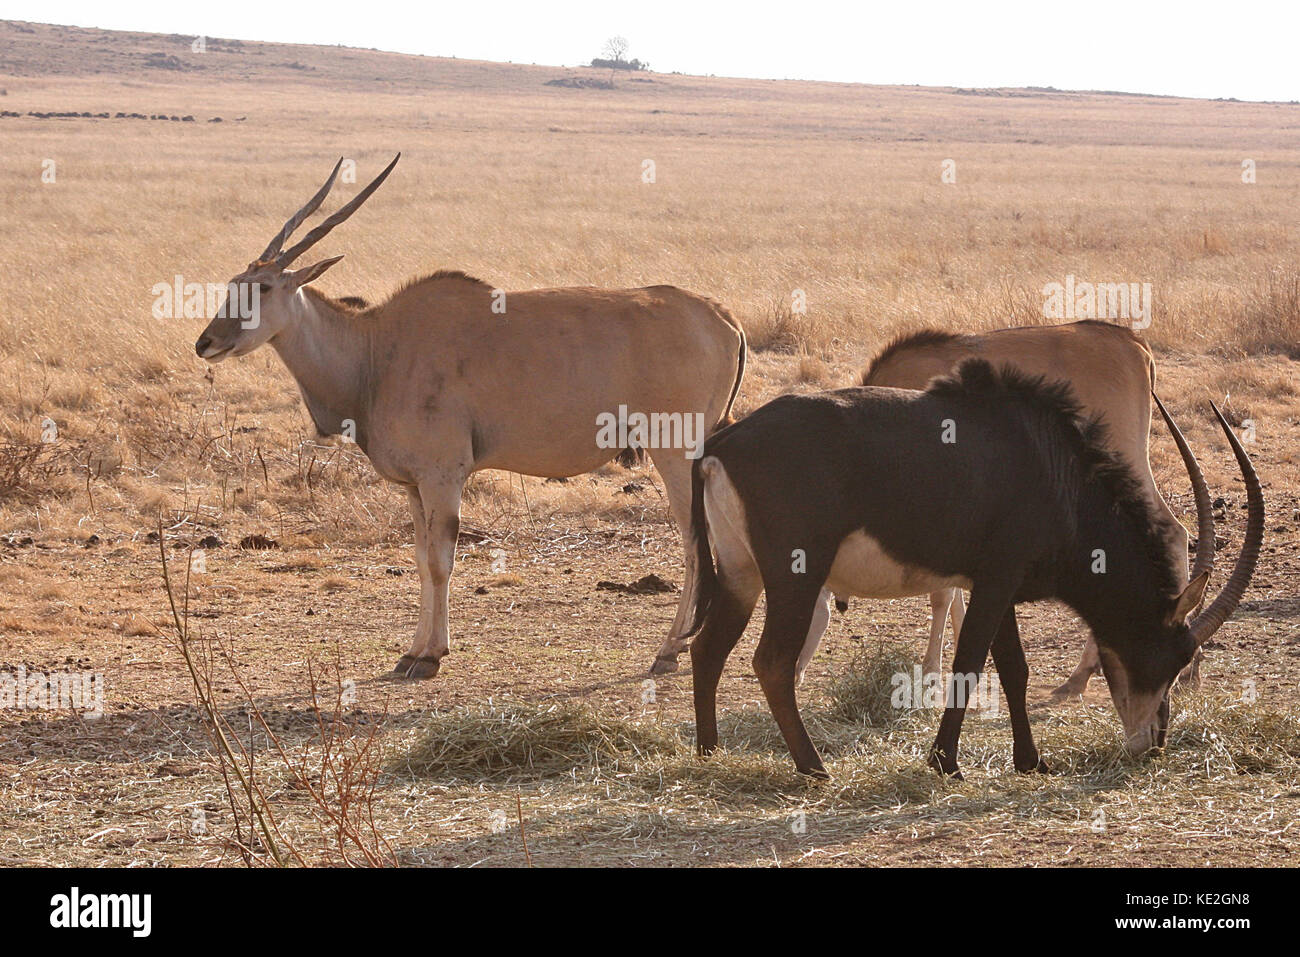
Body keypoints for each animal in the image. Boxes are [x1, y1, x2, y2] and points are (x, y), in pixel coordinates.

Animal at [195, 156, 747, 678]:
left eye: (263, 289)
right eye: (233, 284)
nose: (207, 342)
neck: (376, 349)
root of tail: (722, 316)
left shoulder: (443, 475)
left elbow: (441, 562)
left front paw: (429, 657)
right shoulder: (415, 484)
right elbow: (421, 561)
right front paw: (412, 651)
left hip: (675, 452)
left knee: (695, 539)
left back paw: (669, 649)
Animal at [677, 359, 1262, 778]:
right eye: (1171, 655)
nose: (1154, 745)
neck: (1058, 476)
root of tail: (723, 441)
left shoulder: (995, 585)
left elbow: (1015, 670)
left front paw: (1031, 762)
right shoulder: (996, 580)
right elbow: (970, 665)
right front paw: (945, 764)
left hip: (740, 577)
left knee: (708, 648)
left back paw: (709, 753)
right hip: (795, 576)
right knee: (772, 661)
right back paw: (814, 767)